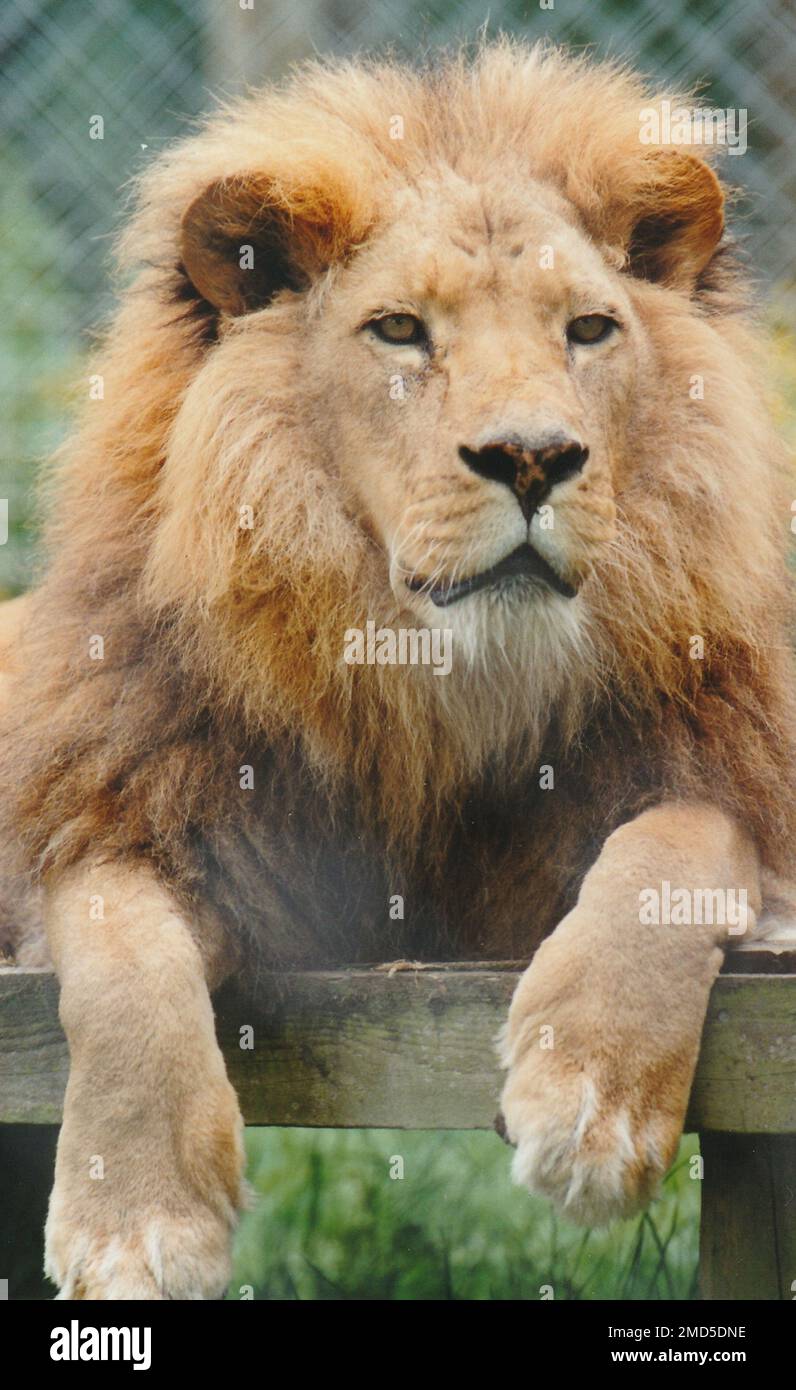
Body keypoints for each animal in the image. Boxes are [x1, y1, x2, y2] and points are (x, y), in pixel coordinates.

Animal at [0, 38, 794, 1299]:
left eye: (588, 331)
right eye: (400, 332)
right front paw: (135, 1219)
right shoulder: (124, 813)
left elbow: (679, 838)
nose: (534, 457)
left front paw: (592, 1091)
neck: (435, 688)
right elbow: (123, 956)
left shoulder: (723, 780)